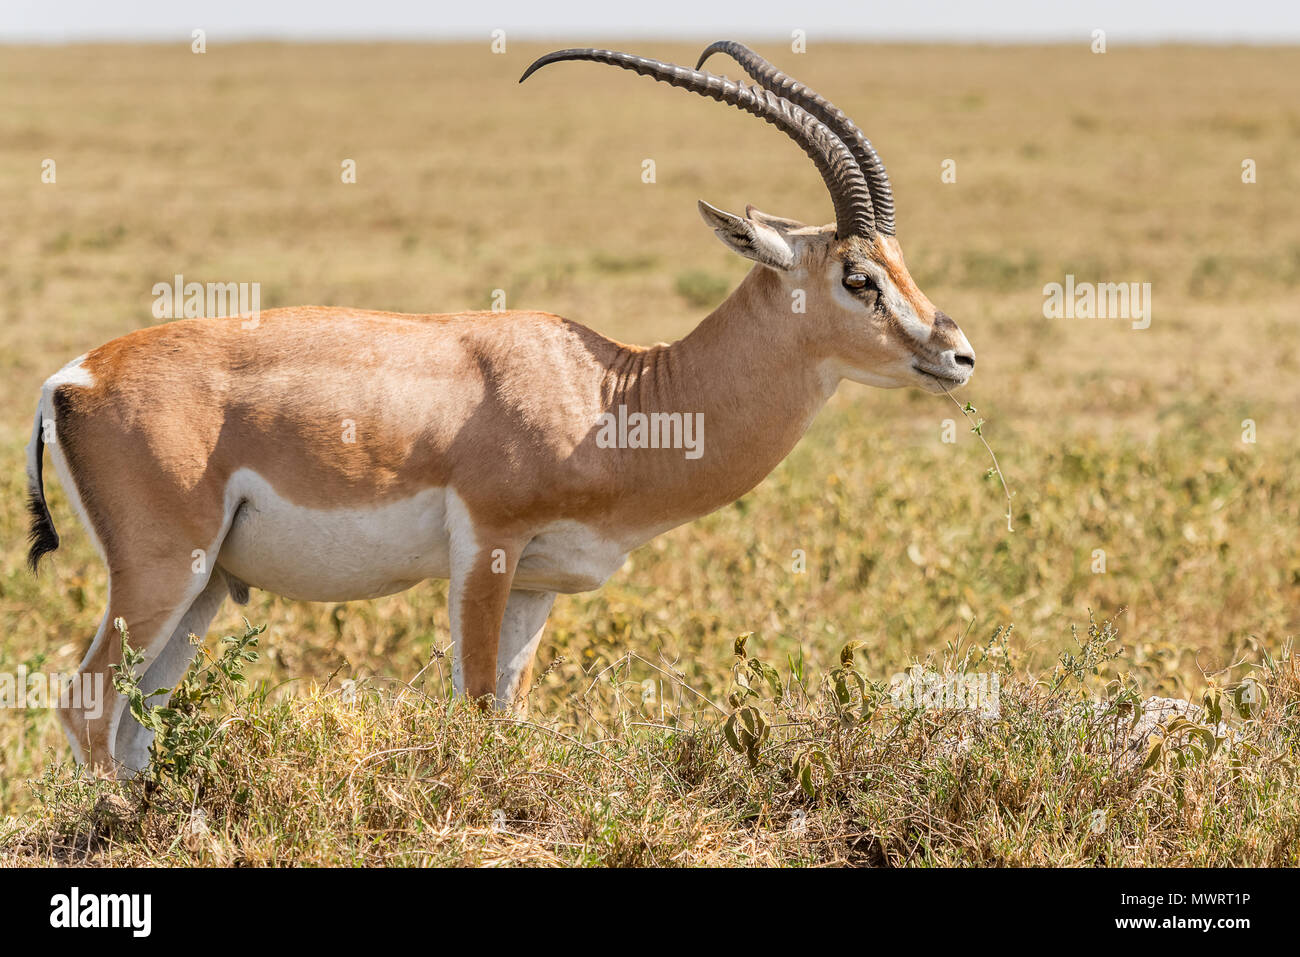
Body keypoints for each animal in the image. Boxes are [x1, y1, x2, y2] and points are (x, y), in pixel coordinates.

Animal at [25, 42, 975, 777]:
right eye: (858, 276)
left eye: (899, 259)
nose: (957, 354)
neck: (612, 395)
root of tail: (72, 377)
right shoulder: (486, 546)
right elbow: (476, 706)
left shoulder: (537, 582)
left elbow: (508, 712)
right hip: (161, 570)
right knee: (85, 704)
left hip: (209, 585)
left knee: (135, 721)